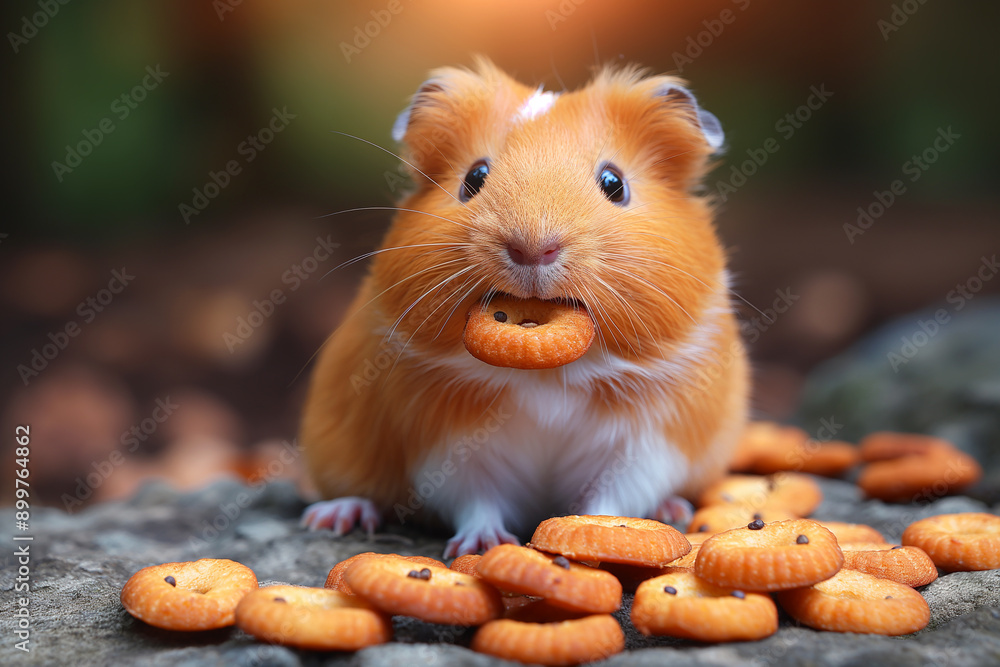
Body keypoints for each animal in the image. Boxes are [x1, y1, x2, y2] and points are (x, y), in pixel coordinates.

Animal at [300, 58, 748, 558]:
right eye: (473, 178)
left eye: (615, 184)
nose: (532, 248)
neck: (547, 376)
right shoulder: (444, 444)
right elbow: (476, 499)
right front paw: (481, 547)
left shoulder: (646, 444)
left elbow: (611, 496)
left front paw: (597, 534)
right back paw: (335, 517)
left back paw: (674, 509)